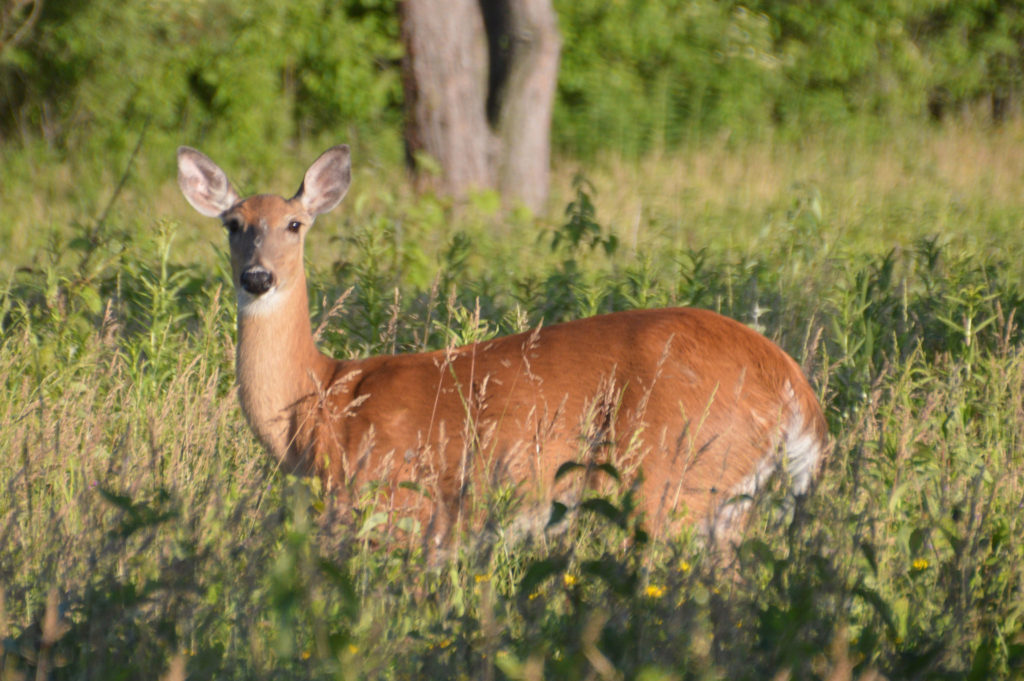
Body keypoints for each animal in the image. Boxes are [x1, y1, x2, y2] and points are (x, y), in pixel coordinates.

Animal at [176, 144, 828, 547]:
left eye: (295, 224)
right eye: (233, 224)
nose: (258, 277)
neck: (321, 399)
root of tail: (792, 384)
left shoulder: (401, 505)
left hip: (671, 476)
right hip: (728, 497)